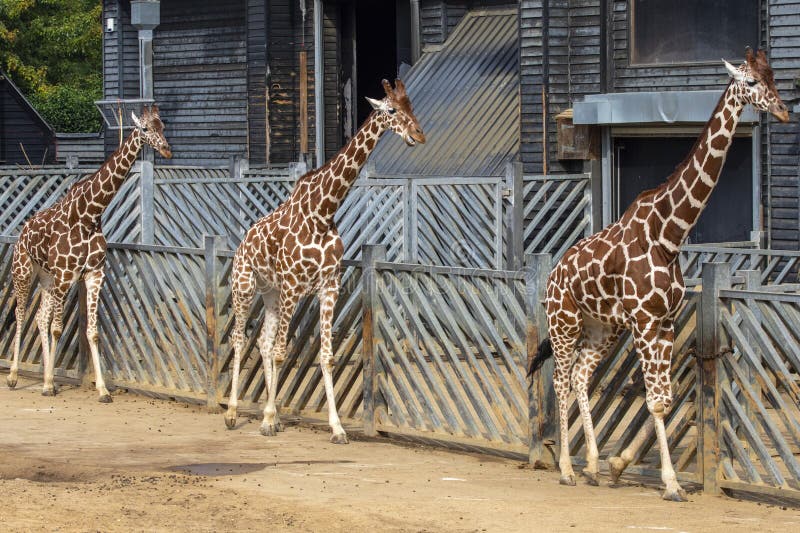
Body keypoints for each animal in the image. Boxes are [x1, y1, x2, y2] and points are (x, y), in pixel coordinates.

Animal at [7, 105, 172, 401]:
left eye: (162, 126)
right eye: (144, 129)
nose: (165, 149)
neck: (89, 214)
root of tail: (24, 228)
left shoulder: (94, 274)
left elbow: (93, 333)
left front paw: (103, 389)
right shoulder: (65, 274)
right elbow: (58, 328)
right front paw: (48, 385)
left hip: (47, 277)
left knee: (39, 317)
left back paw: (47, 376)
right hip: (24, 270)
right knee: (21, 313)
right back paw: (15, 377)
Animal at [223, 79, 425, 442]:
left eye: (411, 106)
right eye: (391, 110)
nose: (418, 134)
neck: (322, 212)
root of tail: (242, 242)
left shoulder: (328, 287)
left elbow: (326, 357)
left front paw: (336, 427)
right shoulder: (293, 287)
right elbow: (282, 352)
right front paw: (267, 419)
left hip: (271, 293)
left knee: (262, 341)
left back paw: (271, 415)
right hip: (245, 286)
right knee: (240, 338)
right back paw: (233, 413)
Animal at [529, 49, 788, 501]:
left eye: (774, 77)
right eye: (751, 82)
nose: (784, 110)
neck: (670, 233)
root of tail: (555, 270)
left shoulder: (664, 322)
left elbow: (666, 398)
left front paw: (624, 466)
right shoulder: (647, 322)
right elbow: (655, 401)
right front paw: (670, 484)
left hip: (603, 328)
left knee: (580, 376)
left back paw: (592, 465)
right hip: (564, 321)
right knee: (560, 379)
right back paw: (566, 468)